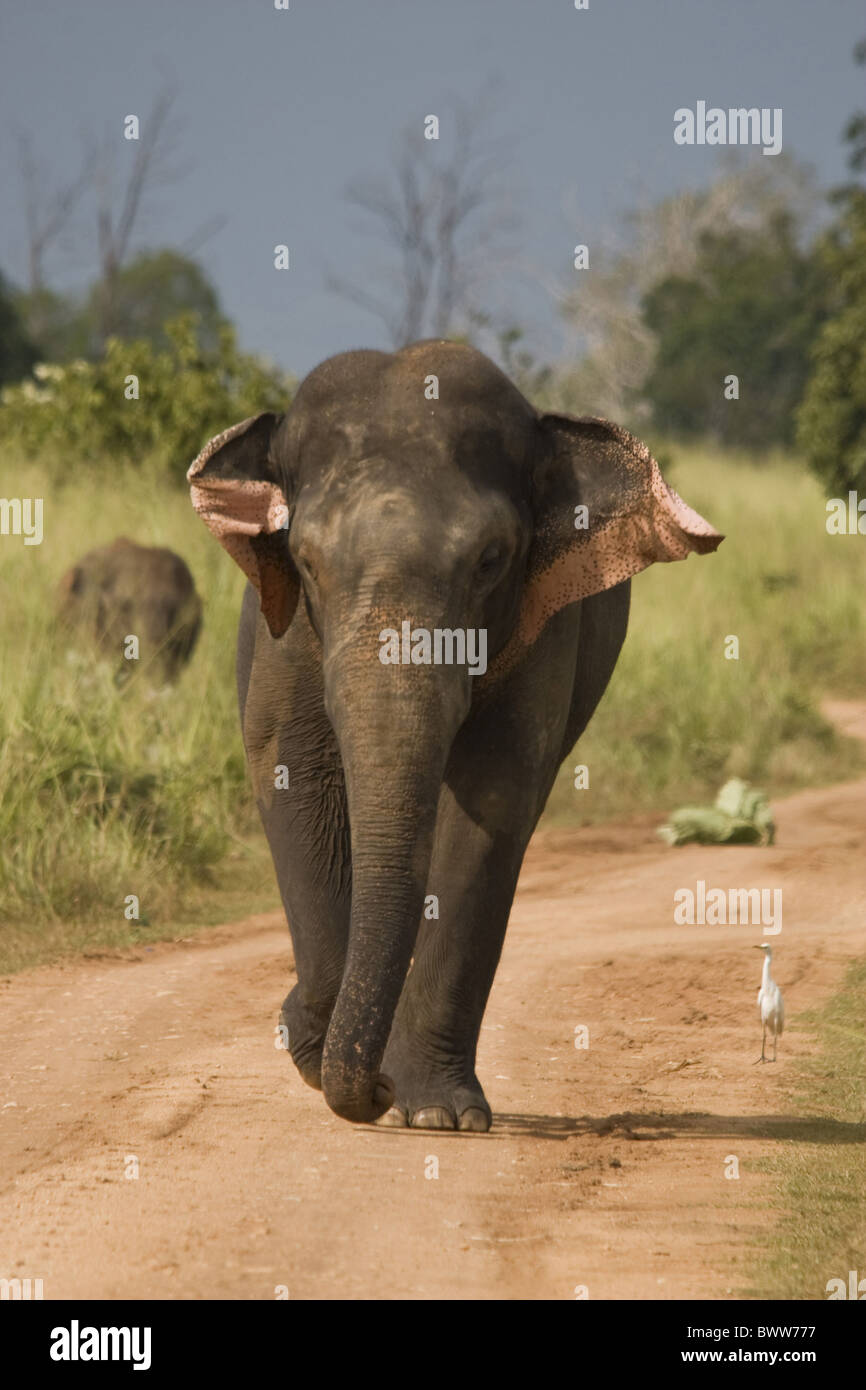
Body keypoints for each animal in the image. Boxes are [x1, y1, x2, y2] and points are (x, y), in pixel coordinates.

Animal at [188, 340, 722, 1131]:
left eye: (490, 560)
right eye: (307, 560)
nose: (376, 1089)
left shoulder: (542, 623)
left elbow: (493, 800)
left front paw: (437, 1114)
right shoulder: (288, 635)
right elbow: (292, 770)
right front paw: (316, 1047)